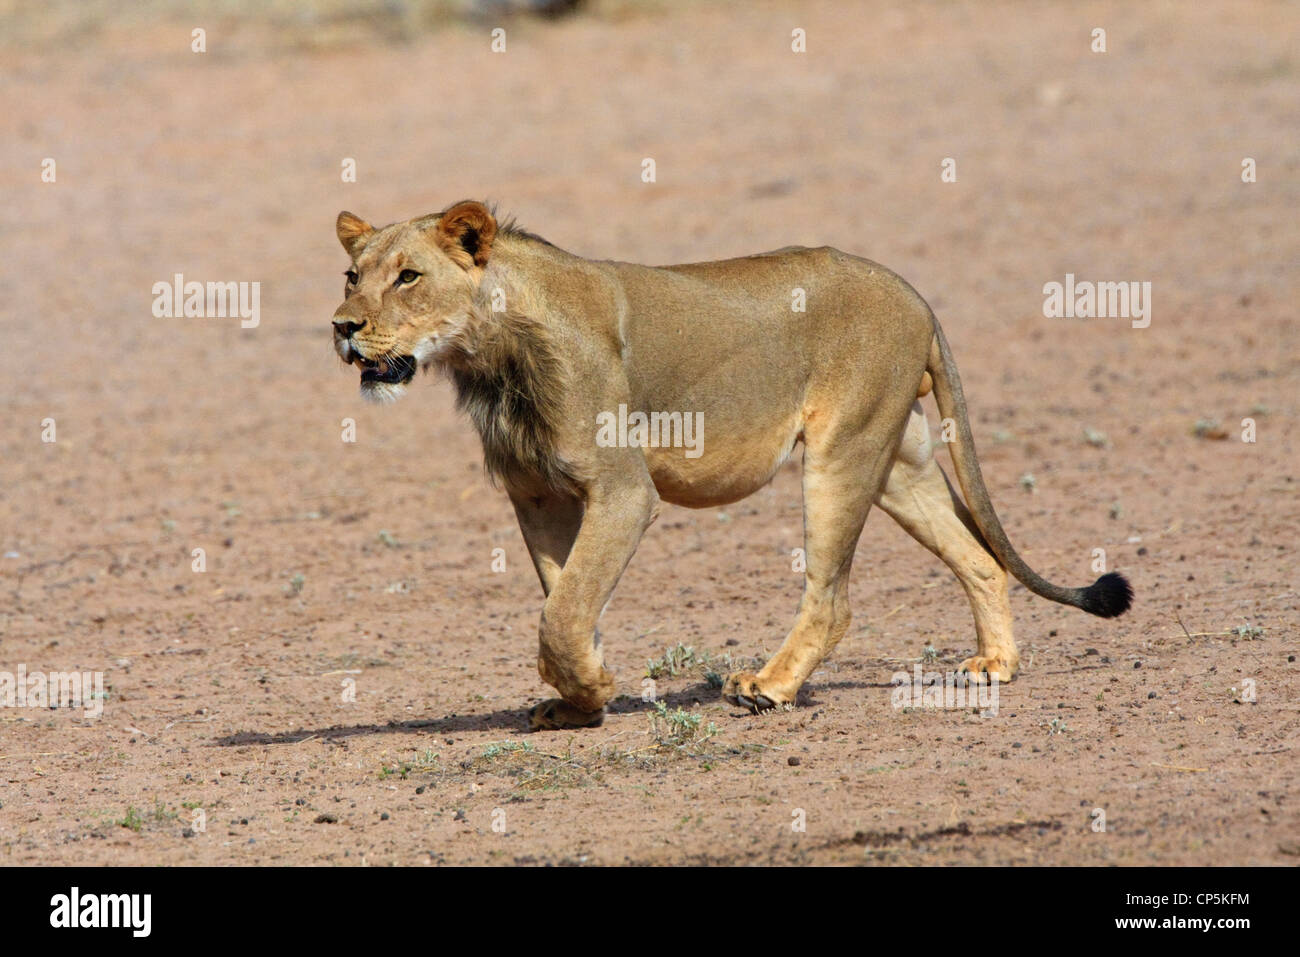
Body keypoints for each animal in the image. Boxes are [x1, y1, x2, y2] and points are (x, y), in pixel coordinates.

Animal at [331, 200, 1133, 731]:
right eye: (350, 274)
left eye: (407, 277)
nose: (341, 326)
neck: (489, 355)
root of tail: (913, 293)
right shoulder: (538, 497)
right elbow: (566, 601)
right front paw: (580, 699)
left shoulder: (622, 489)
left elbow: (562, 613)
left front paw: (593, 683)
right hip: (895, 459)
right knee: (981, 557)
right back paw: (996, 664)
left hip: (842, 453)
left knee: (833, 597)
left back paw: (769, 687)